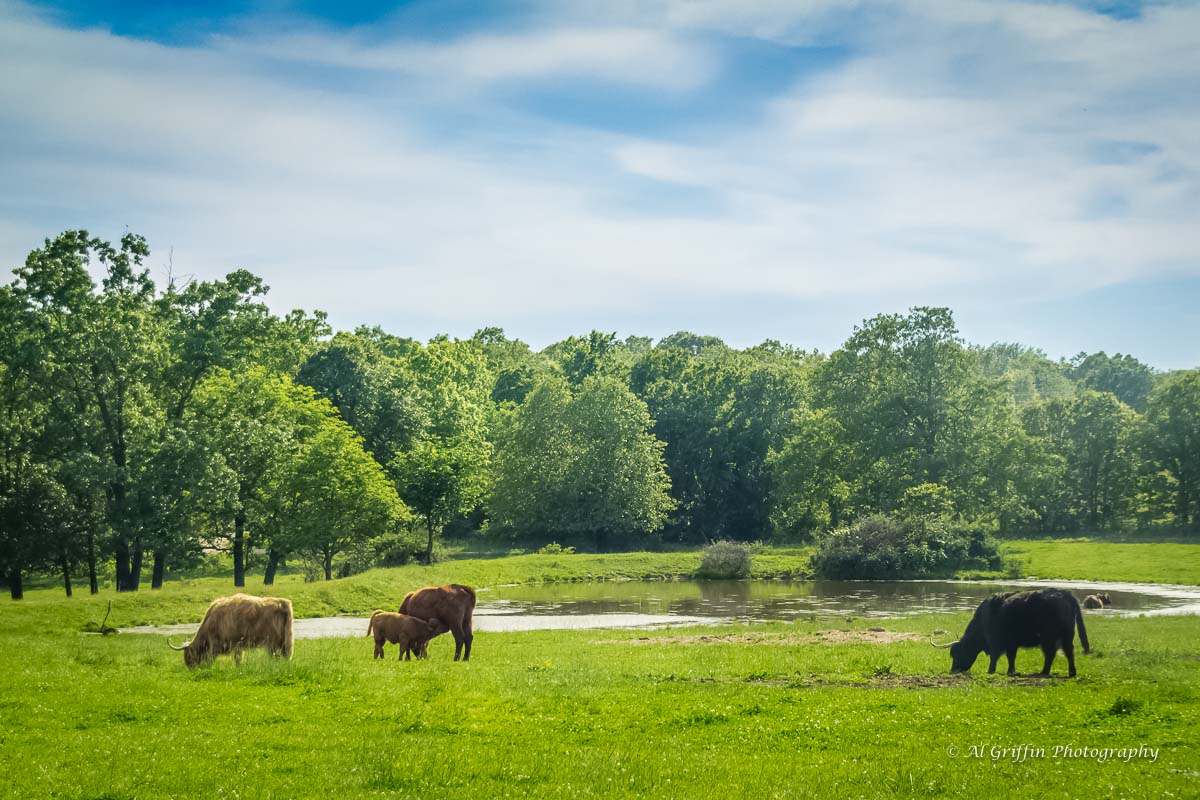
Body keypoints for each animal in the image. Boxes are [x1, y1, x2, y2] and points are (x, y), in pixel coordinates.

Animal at [932, 588, 1090, 677]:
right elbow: (1011, 657)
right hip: (1065, 635)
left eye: (957, 654)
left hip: (1049, 637)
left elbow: (995, 657)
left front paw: (991, 671)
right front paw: (1011, 671)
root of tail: (1065, 594)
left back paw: (1045, 672)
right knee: (1067, 652)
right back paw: (1070, 672)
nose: (954, 670)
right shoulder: (1011, 644)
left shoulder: (996, 642)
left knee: (1051, 653)